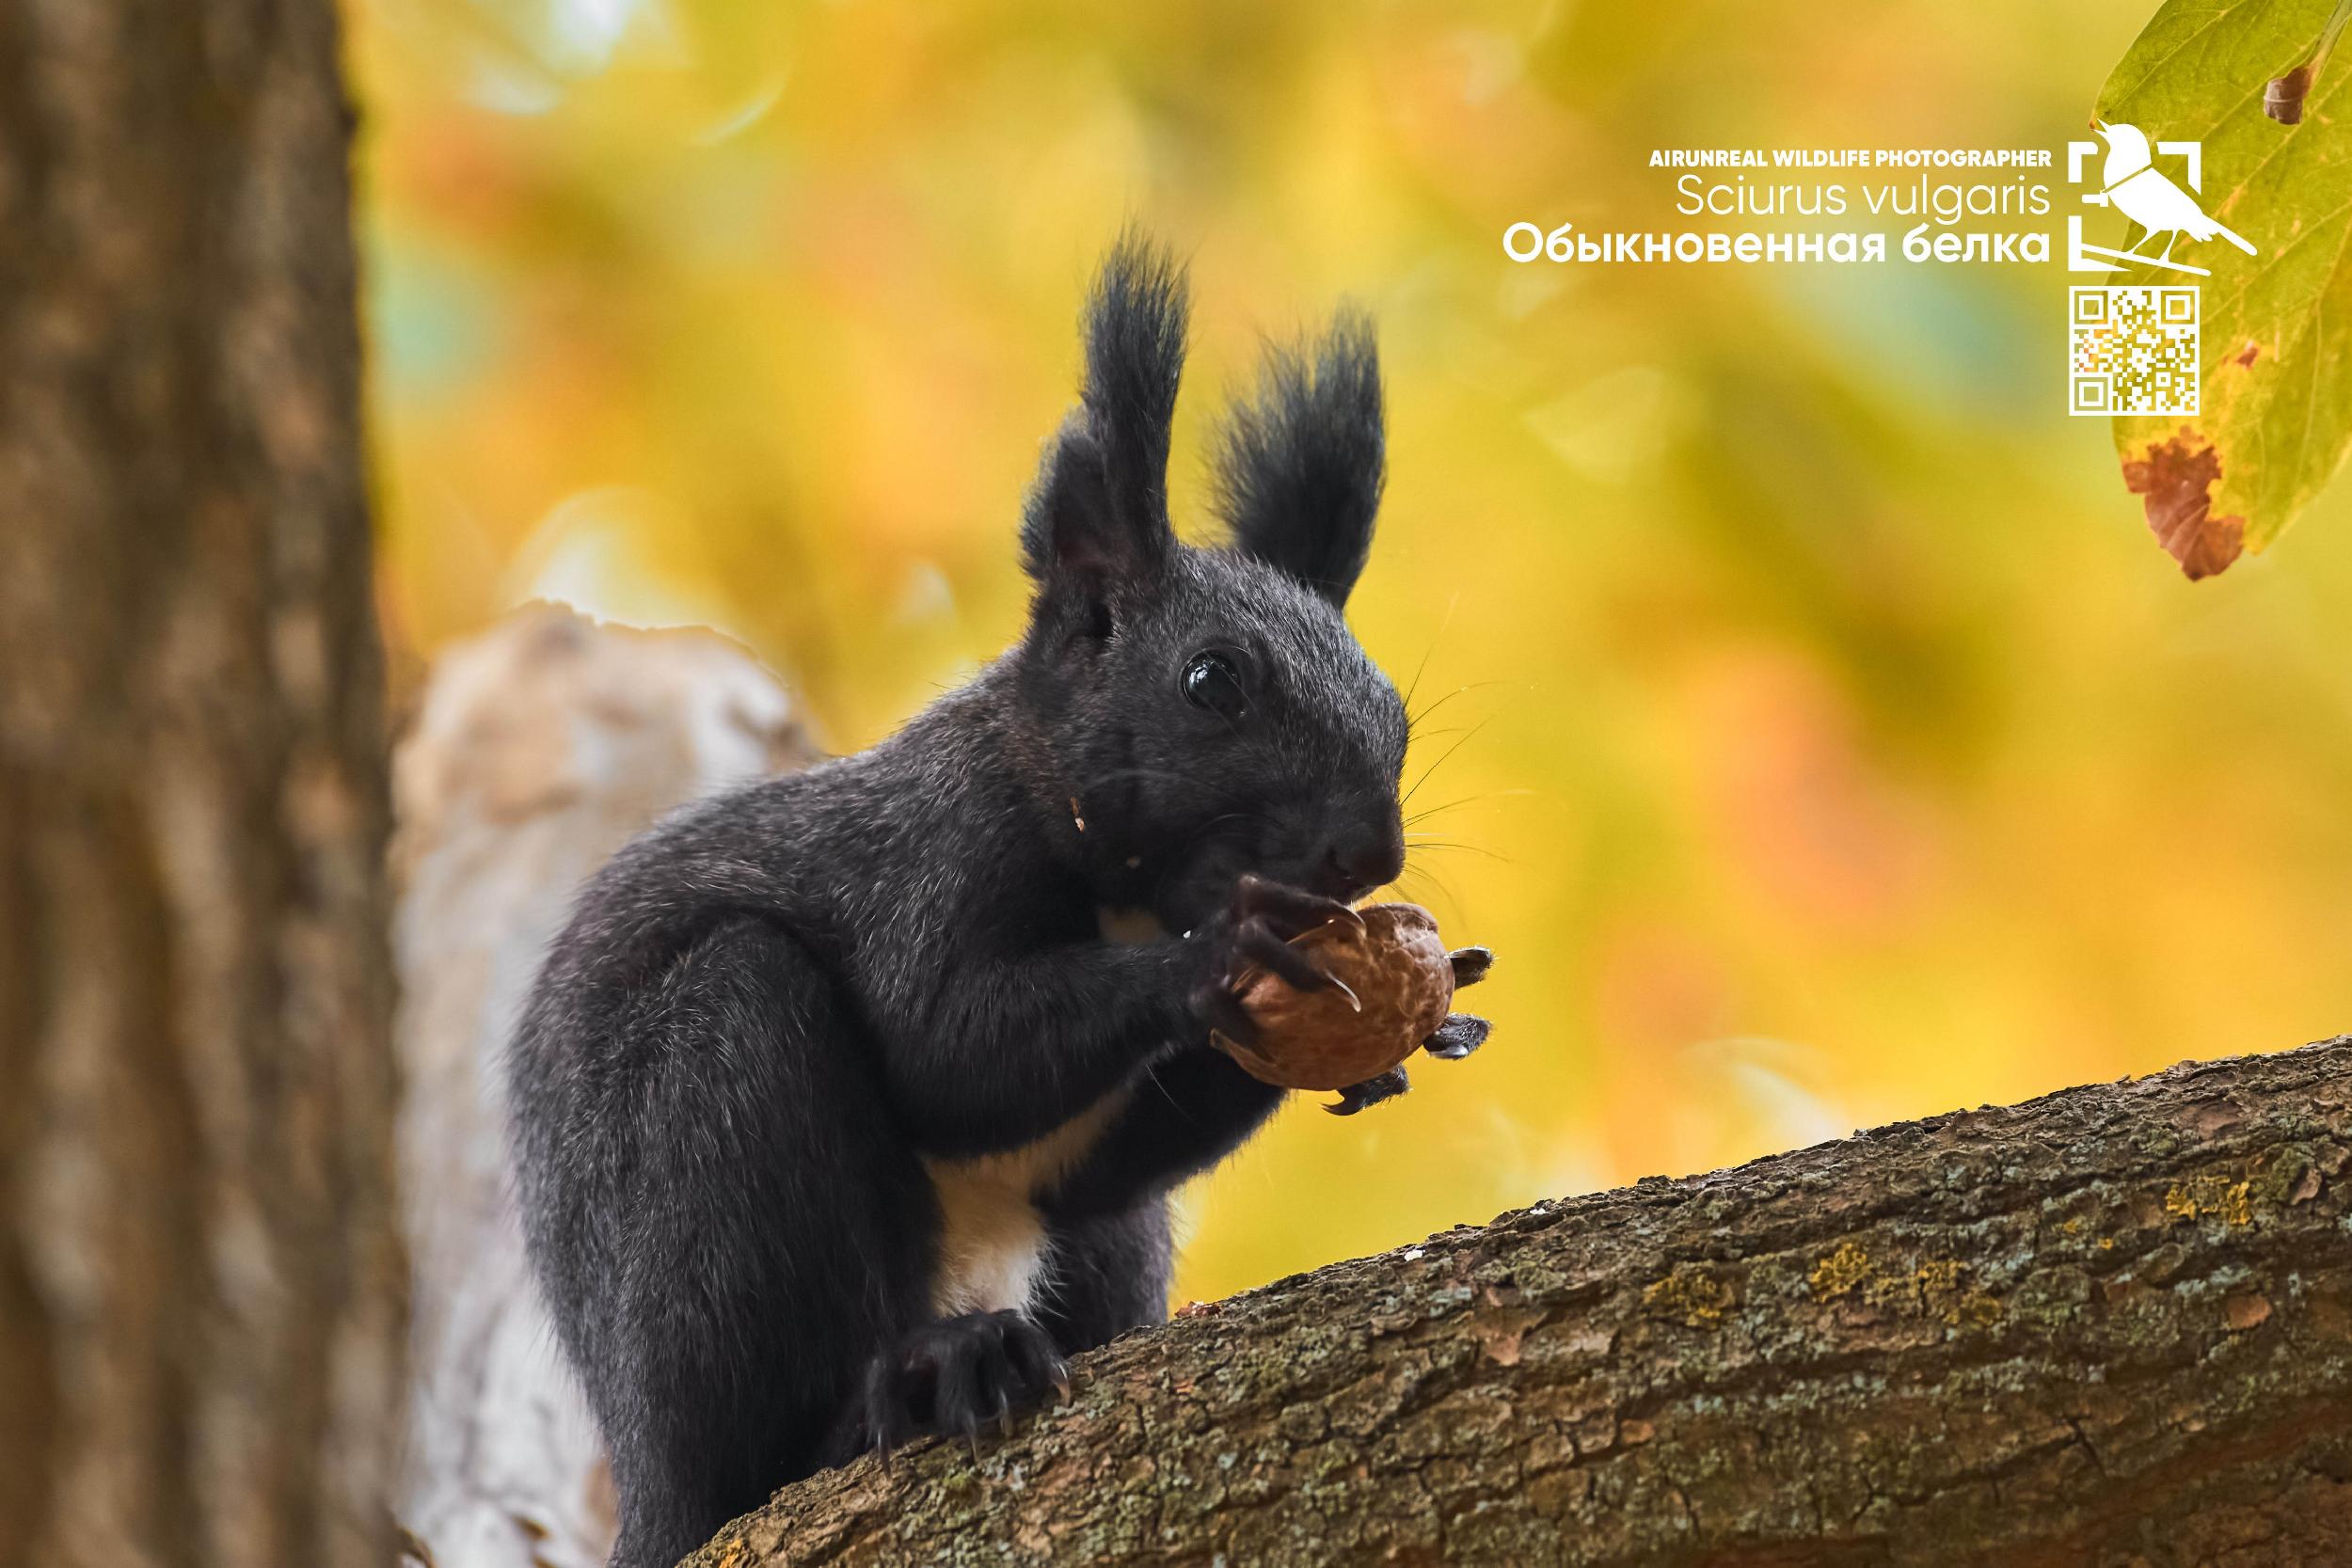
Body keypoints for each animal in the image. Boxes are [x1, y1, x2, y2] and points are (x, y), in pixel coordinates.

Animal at [505, 235, 1491, 1568]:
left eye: (1392, 706)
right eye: (1211, 681)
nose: (1367, 851)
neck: (1131, 891)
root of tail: (651, 1484)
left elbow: (1098, 1164)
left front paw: (1404, 1021)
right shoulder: (930, 853)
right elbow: (947, 1050)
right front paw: (1218, 957)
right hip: (712, 1121)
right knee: (766, 1429)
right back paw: (908, 1382)